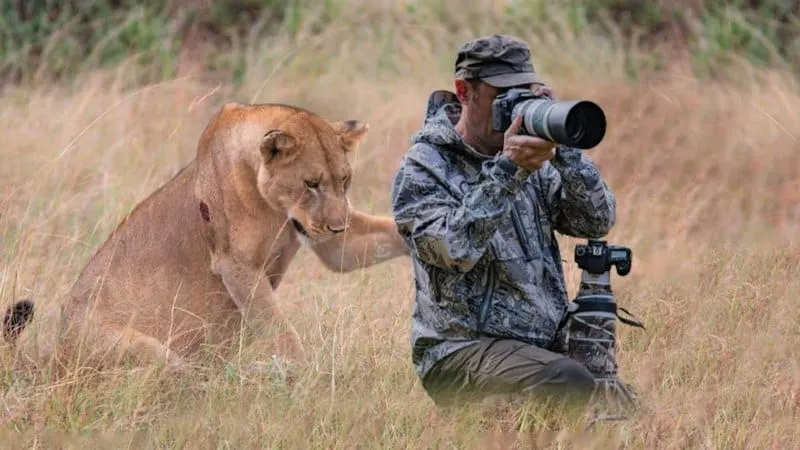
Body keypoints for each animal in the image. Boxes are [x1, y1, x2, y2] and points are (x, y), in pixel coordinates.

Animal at [2, 102, 410, 374]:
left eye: (345, 180)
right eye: (310, 183)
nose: (338, 225)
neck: (274, 208)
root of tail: (54, 356)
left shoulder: (331, 243)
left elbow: (386, 232)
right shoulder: (236, 266)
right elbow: (279, 328)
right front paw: (306, 376)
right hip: (138, 347)